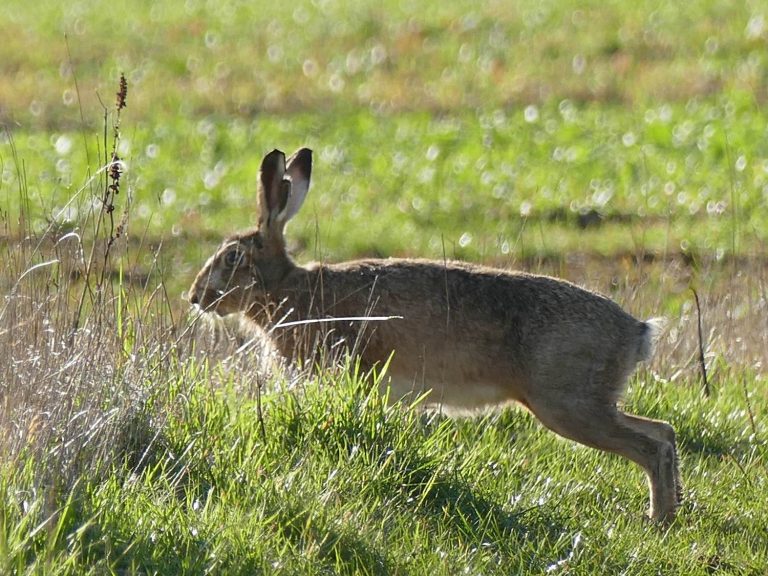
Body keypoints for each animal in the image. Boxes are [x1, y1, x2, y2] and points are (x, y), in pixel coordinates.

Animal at [188, 147, 680, 522]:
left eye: (231, 257)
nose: (195, 297)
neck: (288, 287)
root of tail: (635, 333)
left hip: (566, 404)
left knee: (648, 447)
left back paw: (657, 521)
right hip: (586, 404)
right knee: (663, 432)